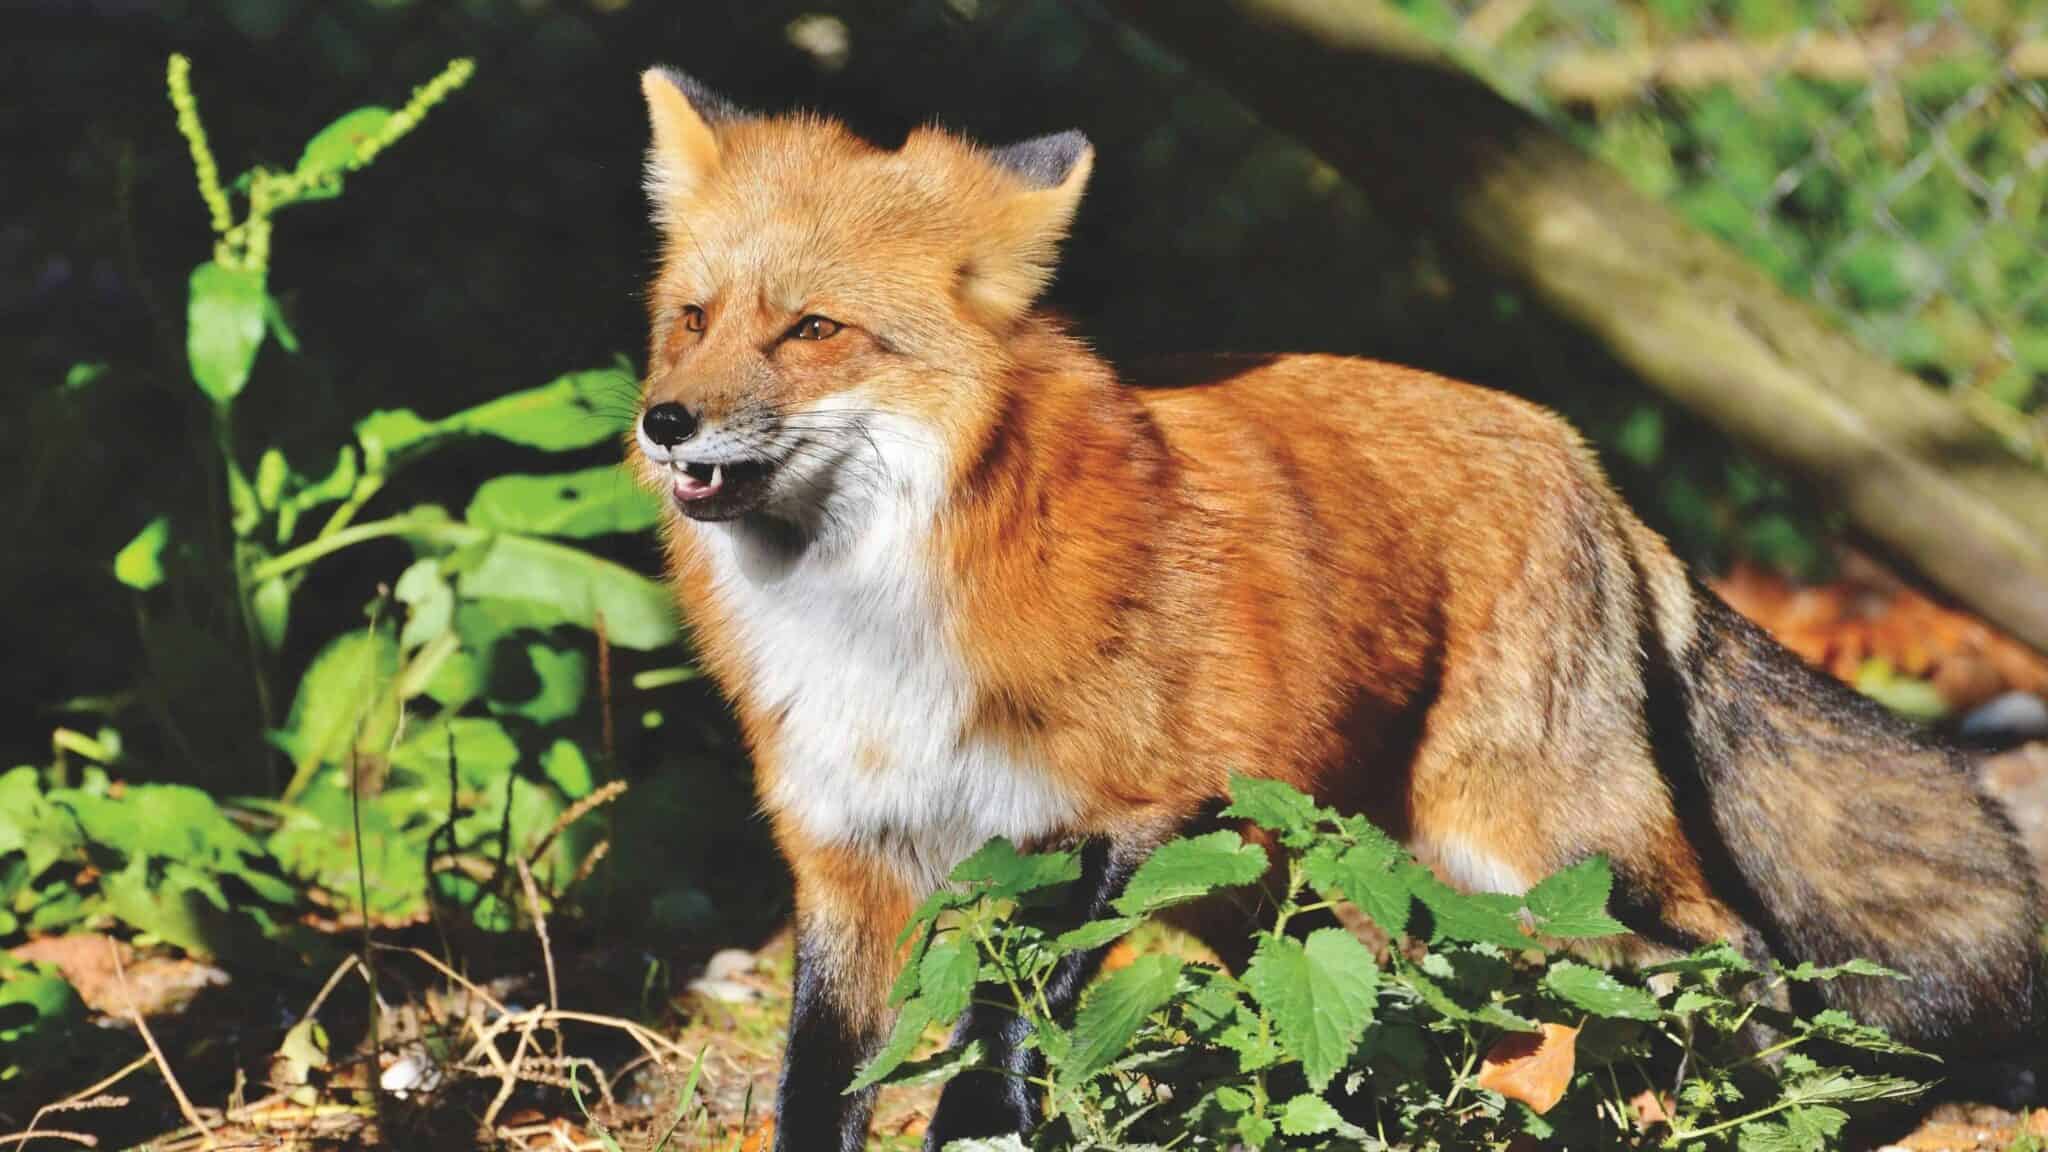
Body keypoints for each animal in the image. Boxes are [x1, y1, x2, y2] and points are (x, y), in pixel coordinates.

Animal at [627, 68, 2041, 1150]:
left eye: (814, 329)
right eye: (692, 318)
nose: (663, 421)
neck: (871, 620)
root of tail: (1575, 451)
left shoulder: (1113, 817)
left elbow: (1001, 1036)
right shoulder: (846, 863)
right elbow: (822, 1087)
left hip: (1536, 843)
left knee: (1733, 957)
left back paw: (1739, 1111)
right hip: (1301, 873)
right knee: (1408, 1005)